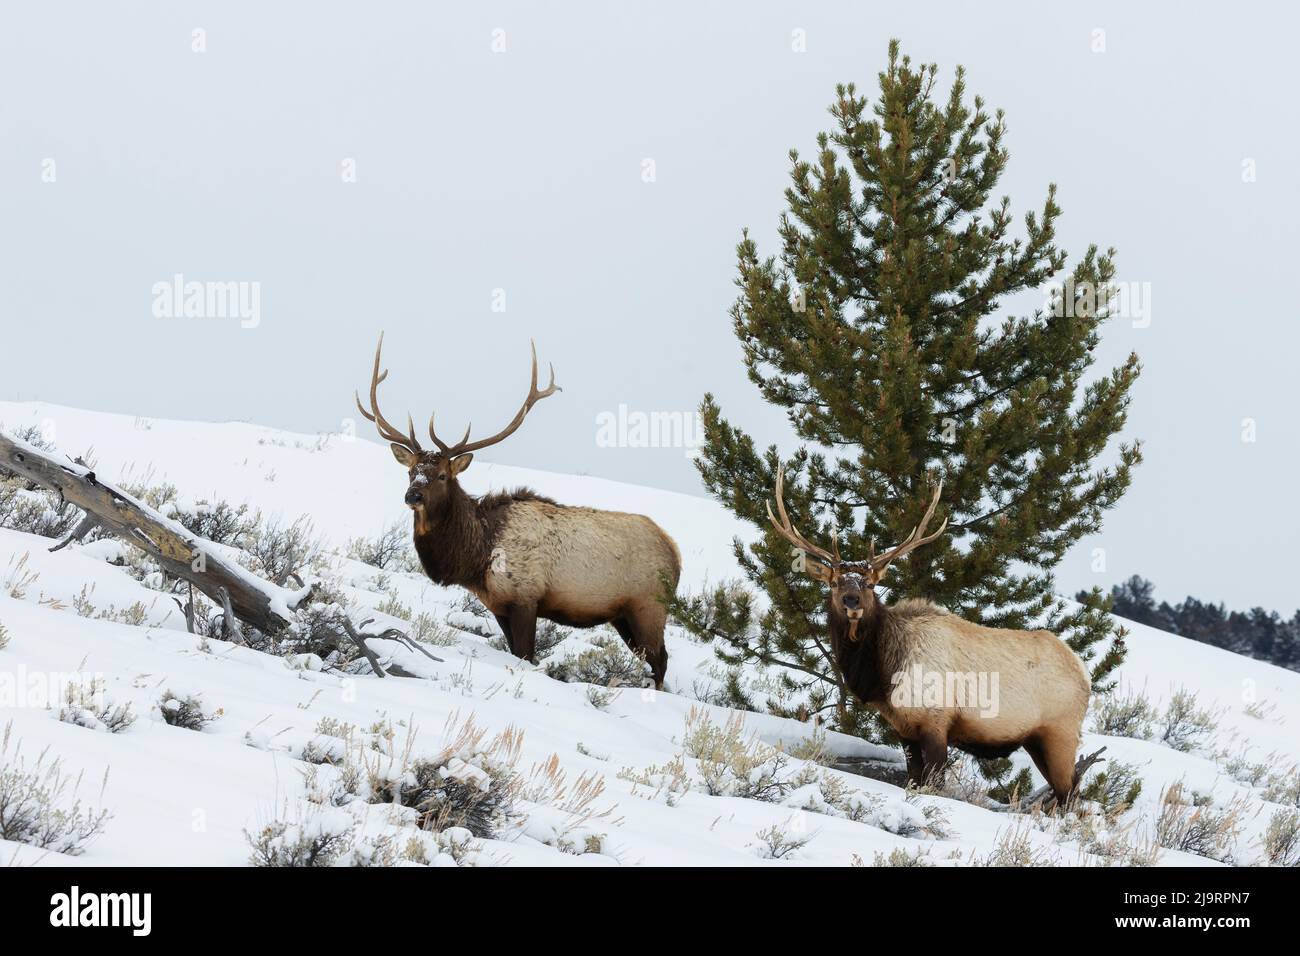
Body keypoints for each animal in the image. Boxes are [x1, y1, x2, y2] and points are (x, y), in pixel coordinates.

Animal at [356, 334, 682, 688]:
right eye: (411, 471)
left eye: (442, 475)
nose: (412, 495)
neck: (476, 556)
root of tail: (675, 552)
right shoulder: (498, 606)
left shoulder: (526, 598)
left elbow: (527, 656)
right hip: (623, 616)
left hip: (648, 608)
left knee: (660, 661)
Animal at [766, 467, 1091, 804]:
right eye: (833, 583)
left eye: (870, 584)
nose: (852, 601)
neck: (883, 675)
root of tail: (1084, 672)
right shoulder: (904, 729)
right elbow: (913, 780)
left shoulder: (936, 721)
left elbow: (934, 785)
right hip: (1036, 740)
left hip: (1060, 733)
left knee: (1071, 795)